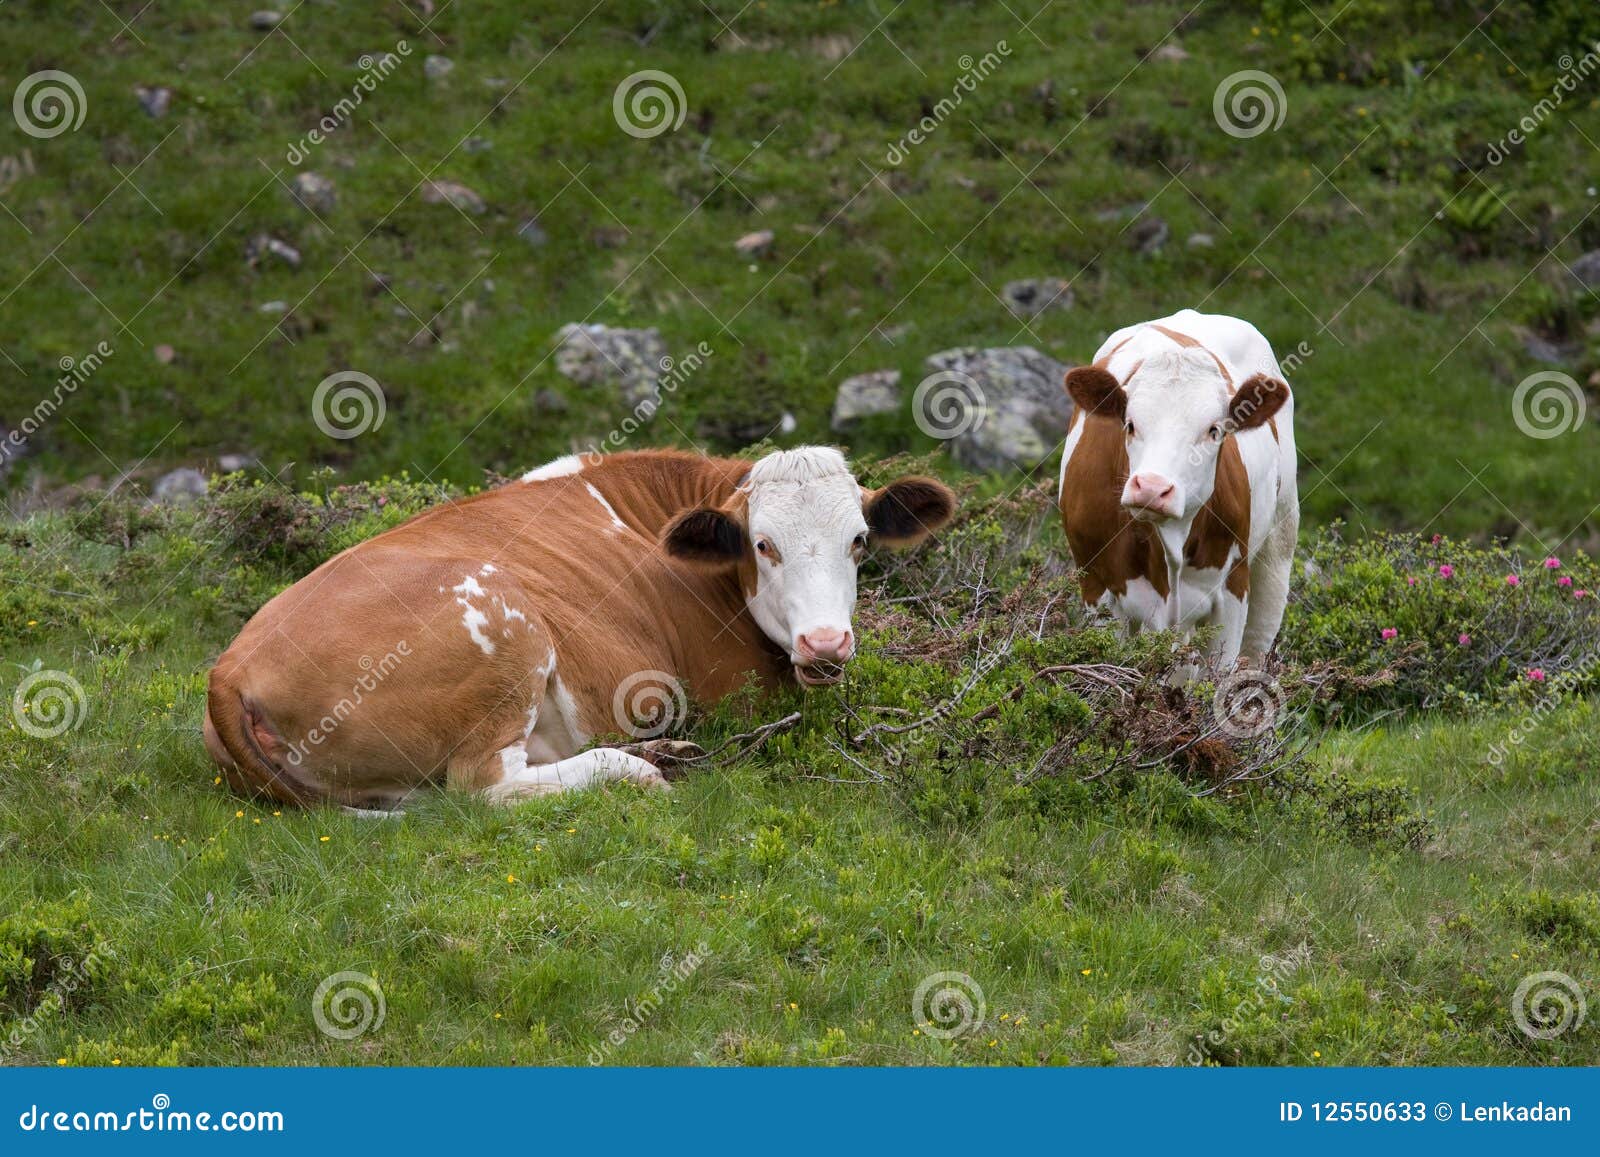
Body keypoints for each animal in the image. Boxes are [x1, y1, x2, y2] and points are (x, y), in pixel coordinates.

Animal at [204, 447, 956, 808]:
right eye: (763, 544)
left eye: (859, 540)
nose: (825, 644)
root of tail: (228, 669)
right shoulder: (741, 691)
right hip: (503, 626)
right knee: (485, 788)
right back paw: (640, 768)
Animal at [1057, 309, 1298, 665]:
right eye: (1130, 424)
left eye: (1214, 430)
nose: (1152, 488)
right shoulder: (1097, 588)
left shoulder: (1231, 590)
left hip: (1279, 540)